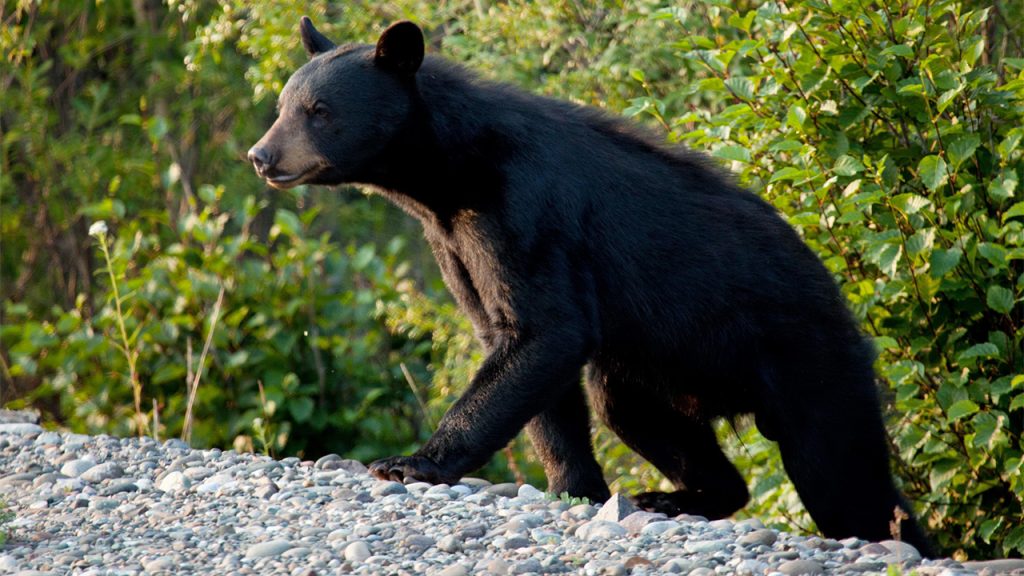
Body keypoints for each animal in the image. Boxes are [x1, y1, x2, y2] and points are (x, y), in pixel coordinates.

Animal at [248, 17, 933, 554]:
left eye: (319, 112)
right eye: (282, 106)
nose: (261, 156)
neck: (447, 177)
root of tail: (844, 307)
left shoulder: (525, 210)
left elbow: (545, 331)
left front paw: (412, 461)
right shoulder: (455, 244)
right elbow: (523, 352)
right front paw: (573, 489)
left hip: (803, 358)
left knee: (840, 471)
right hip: (664, 370)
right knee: (632, 412)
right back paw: (675, 498)